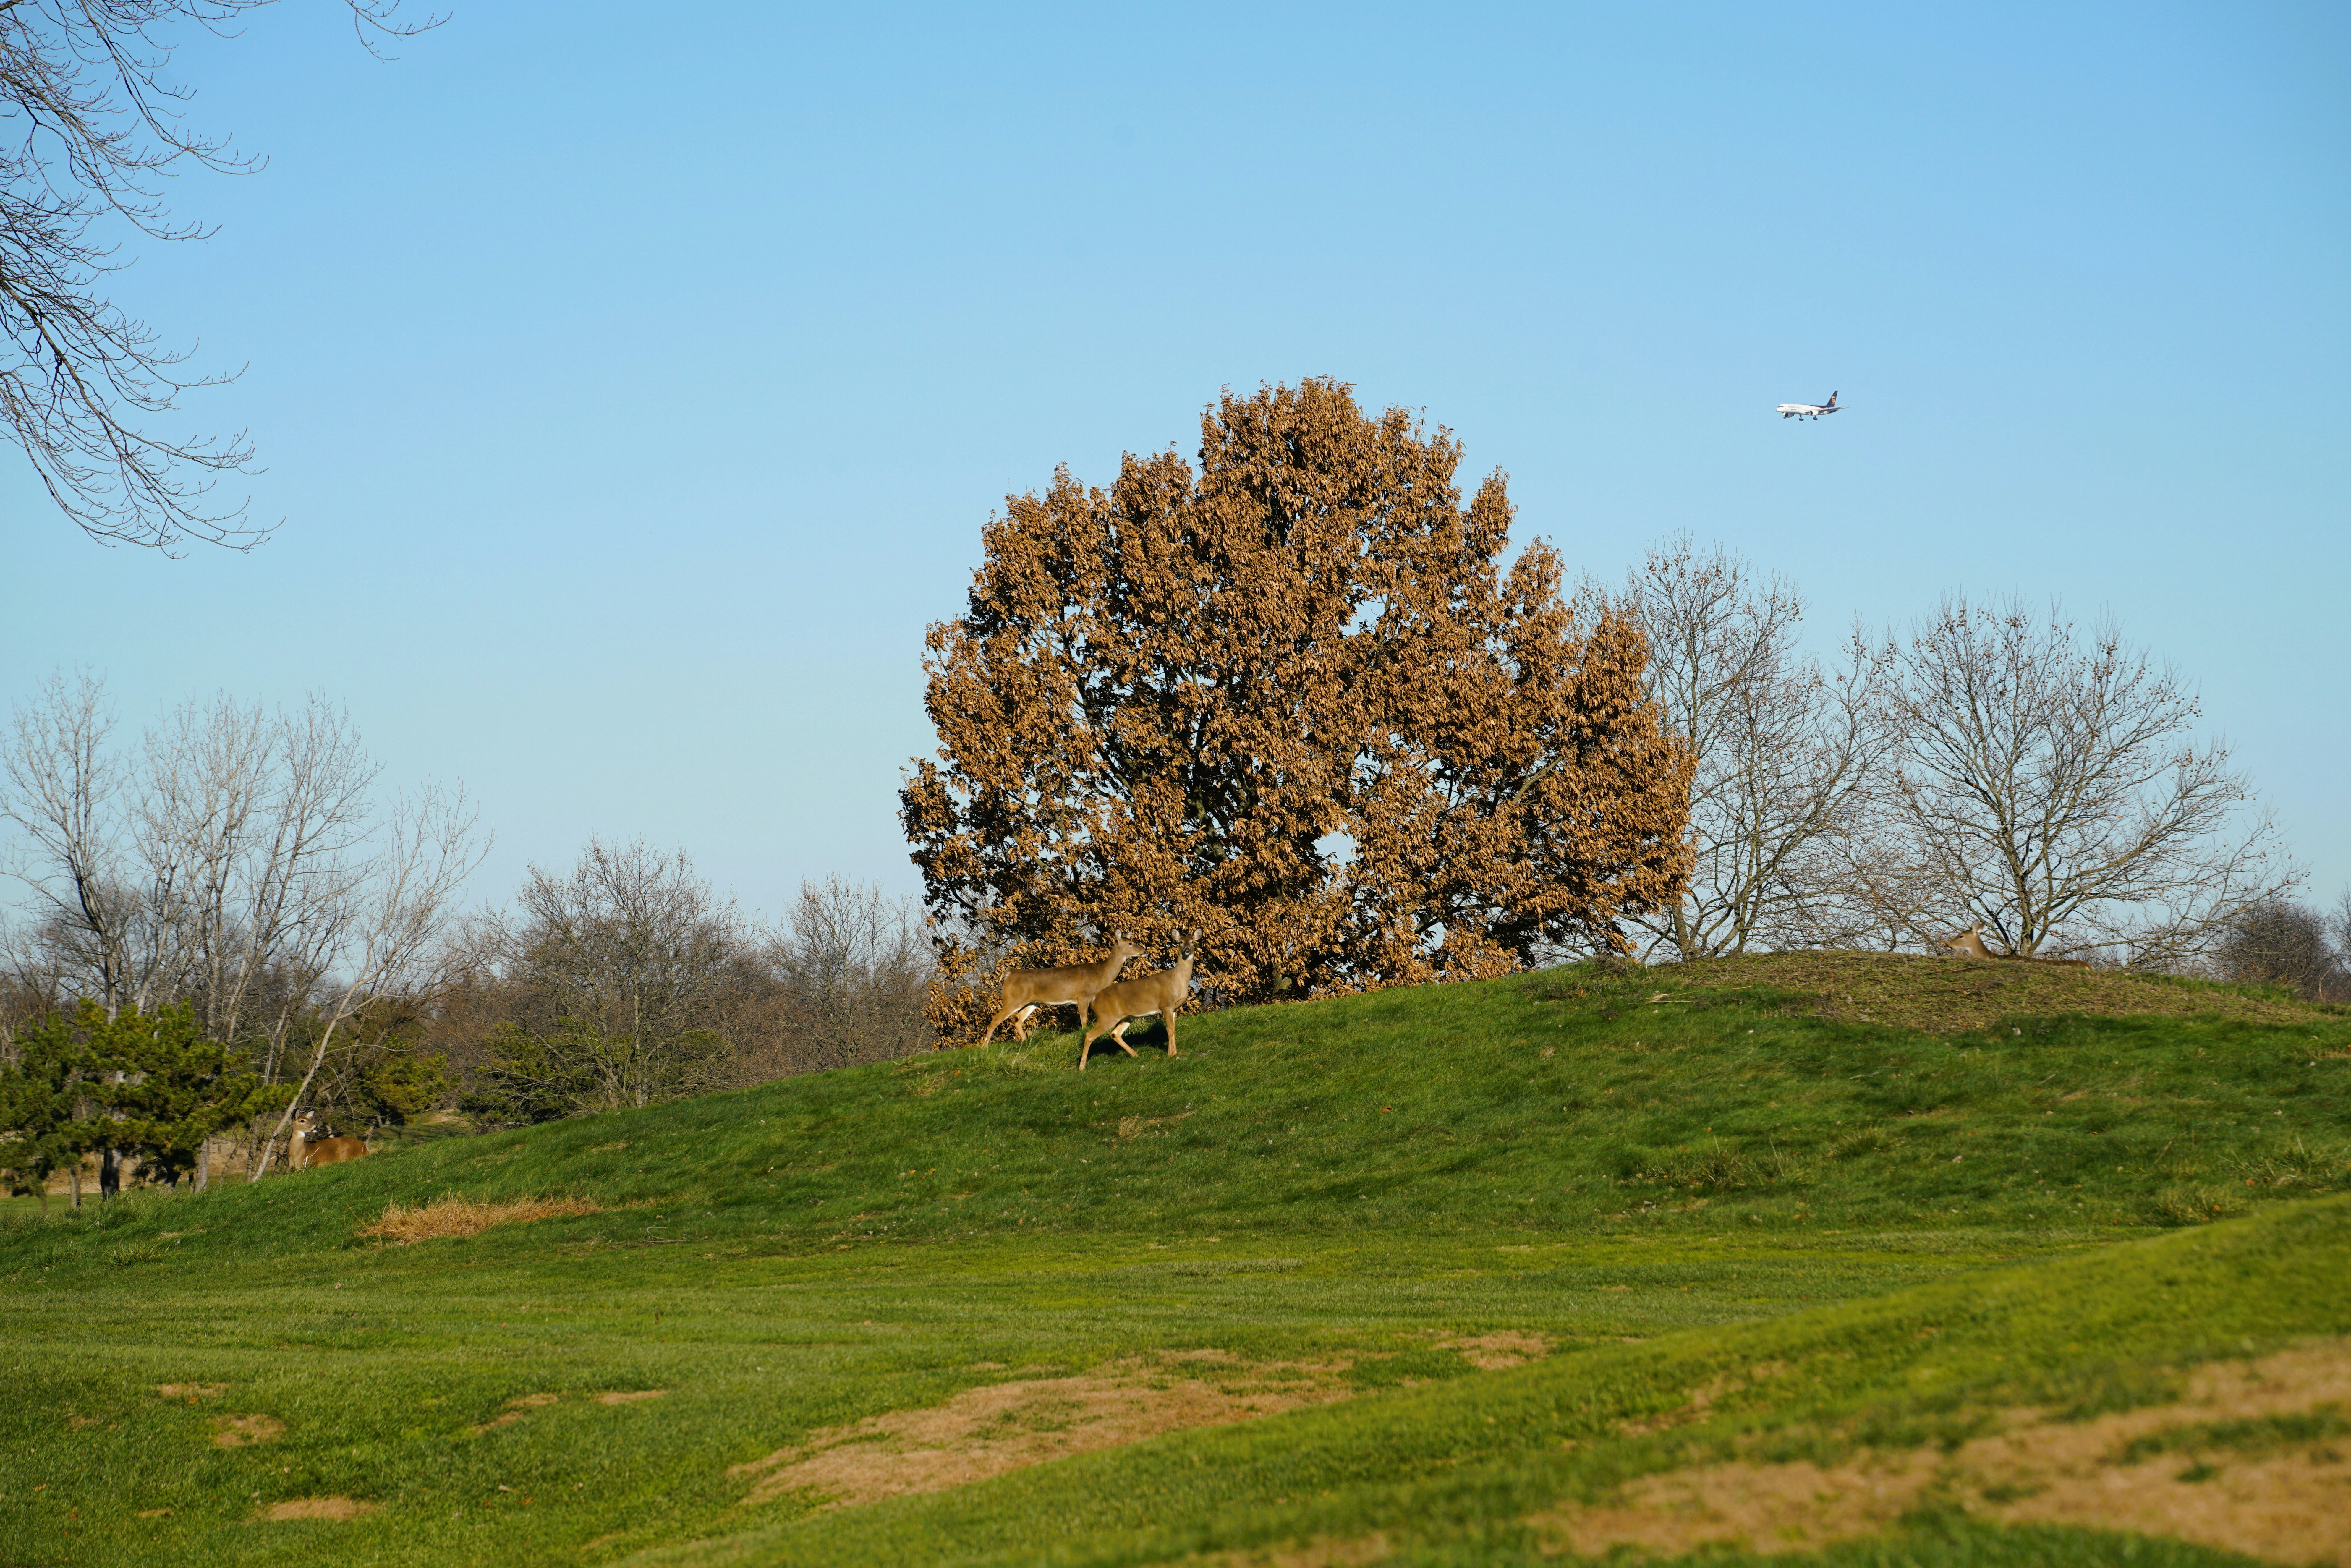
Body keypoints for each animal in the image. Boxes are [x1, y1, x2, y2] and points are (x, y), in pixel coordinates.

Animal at [975, 933, 1144, 1048]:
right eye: (1131, 943)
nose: (1144, 951)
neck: (1100, 973)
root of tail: (1009, 974)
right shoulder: (1083, 996)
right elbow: (1084, 1020)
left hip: (1032, 1002)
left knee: (1018, 1018)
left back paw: (1026, 1042)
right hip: (1013, 999)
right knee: (997, 1018)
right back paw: (984, 1047)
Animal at [1077, 929, 1200, 1070]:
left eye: (1193, 942)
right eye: (1180, 942)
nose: (1187, 950)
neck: (1178, 979)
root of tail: (1094, 1000)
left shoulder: (1174, 1009)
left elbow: (1173, 1030)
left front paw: (1175, 1053)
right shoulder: (1166, 1005)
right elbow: (1169, 1031)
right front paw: (1171, 1055)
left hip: (1126, 1017)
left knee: (1115, 1034)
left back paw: (1136, 1055)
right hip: (1107, 1017)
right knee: (1090, 1035)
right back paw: (1082, 1068)